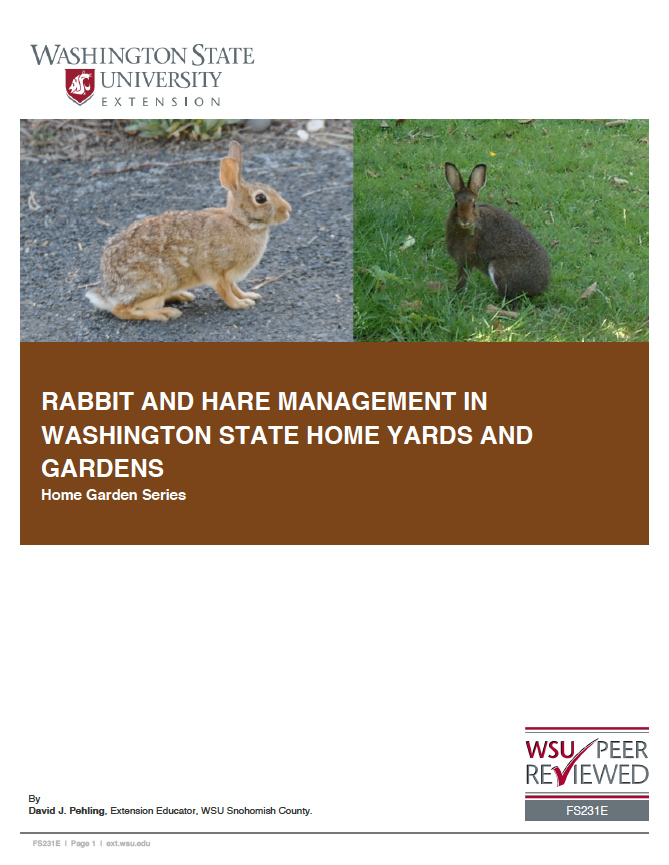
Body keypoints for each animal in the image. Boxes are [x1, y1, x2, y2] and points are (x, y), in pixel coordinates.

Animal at [87, 141, 291, 322]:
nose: (288, 210)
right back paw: (164, 313)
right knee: (121, 310)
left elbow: (235, 287)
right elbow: (226, 291)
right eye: (260, 198)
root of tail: (109, 292)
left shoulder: (230, 275)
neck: (240, 222)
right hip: (157, 281)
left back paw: (181, 296)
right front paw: (240, 304)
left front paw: (248, 296)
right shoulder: (217, 272)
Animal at [444, 163, 550, 304]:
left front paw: (458, 293)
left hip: (497, 269)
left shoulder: (466, 259)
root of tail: (540, 287)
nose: (464, 220)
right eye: (456, 204)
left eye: (474, 205)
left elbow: (463, 278)